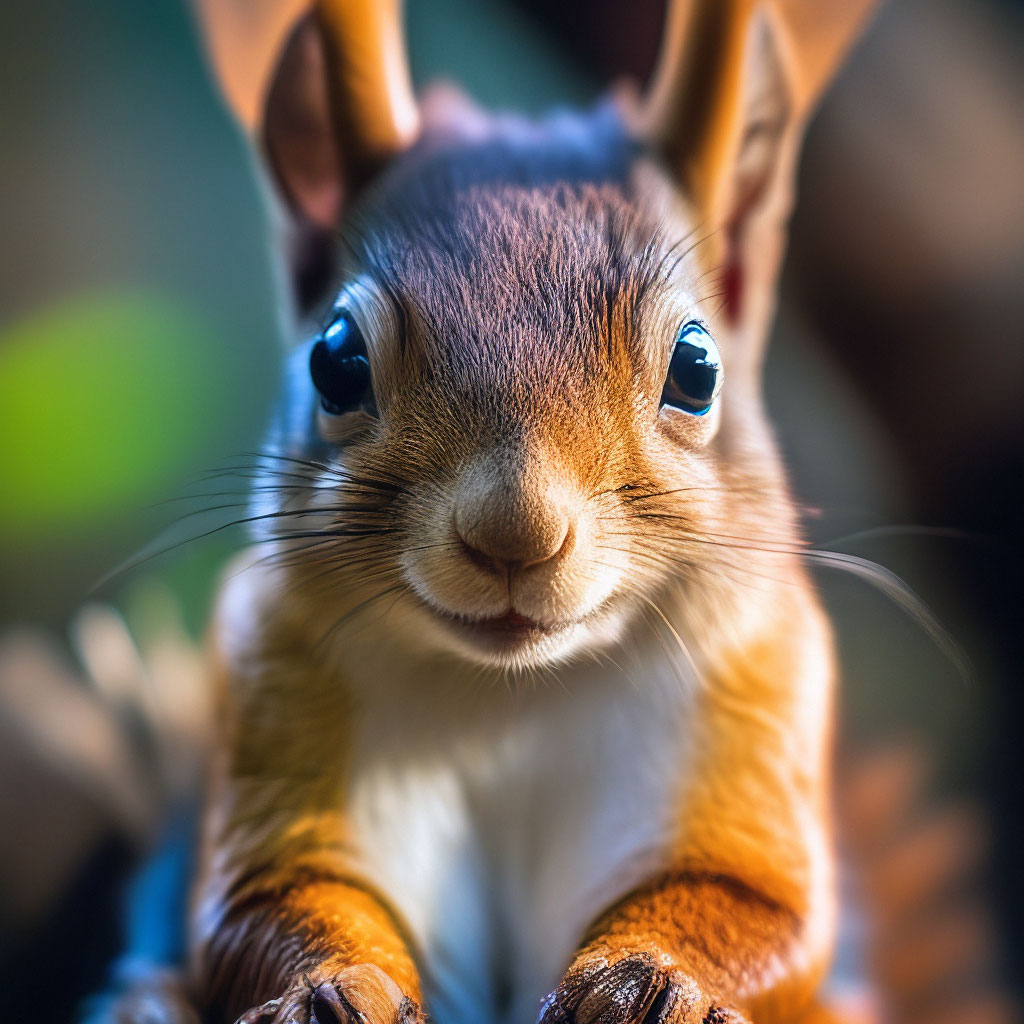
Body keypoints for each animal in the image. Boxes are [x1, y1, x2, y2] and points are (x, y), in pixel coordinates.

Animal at [109, 2, 900, 1023]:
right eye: (334, 359)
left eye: (698, 366)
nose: (513, 533)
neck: (510, 698)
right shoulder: (273, 691)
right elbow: (272, 906)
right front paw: (335, 986)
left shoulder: (760, 696)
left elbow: (752, 908)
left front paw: (651, 982)